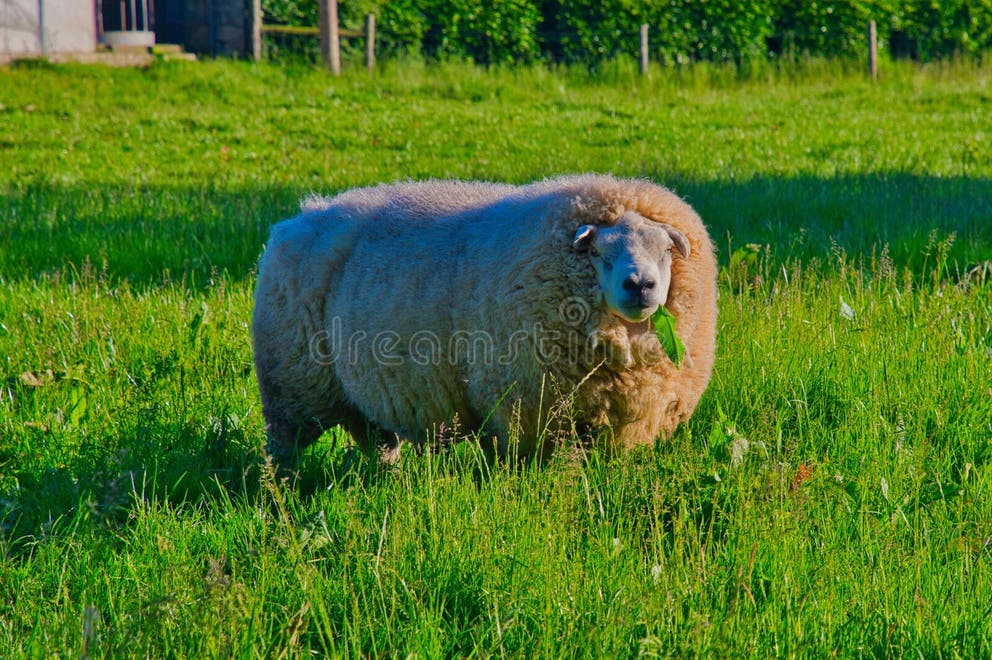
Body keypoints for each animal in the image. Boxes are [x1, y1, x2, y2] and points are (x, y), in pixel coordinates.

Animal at [252, 174, 718, 465]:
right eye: (600, 254)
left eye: (665, 251)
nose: (640, 284)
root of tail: (298, 218)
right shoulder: (525, 413)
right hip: (291, 383)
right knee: (284, 448)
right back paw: (281, 495)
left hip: (361, 398)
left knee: (379, 442)